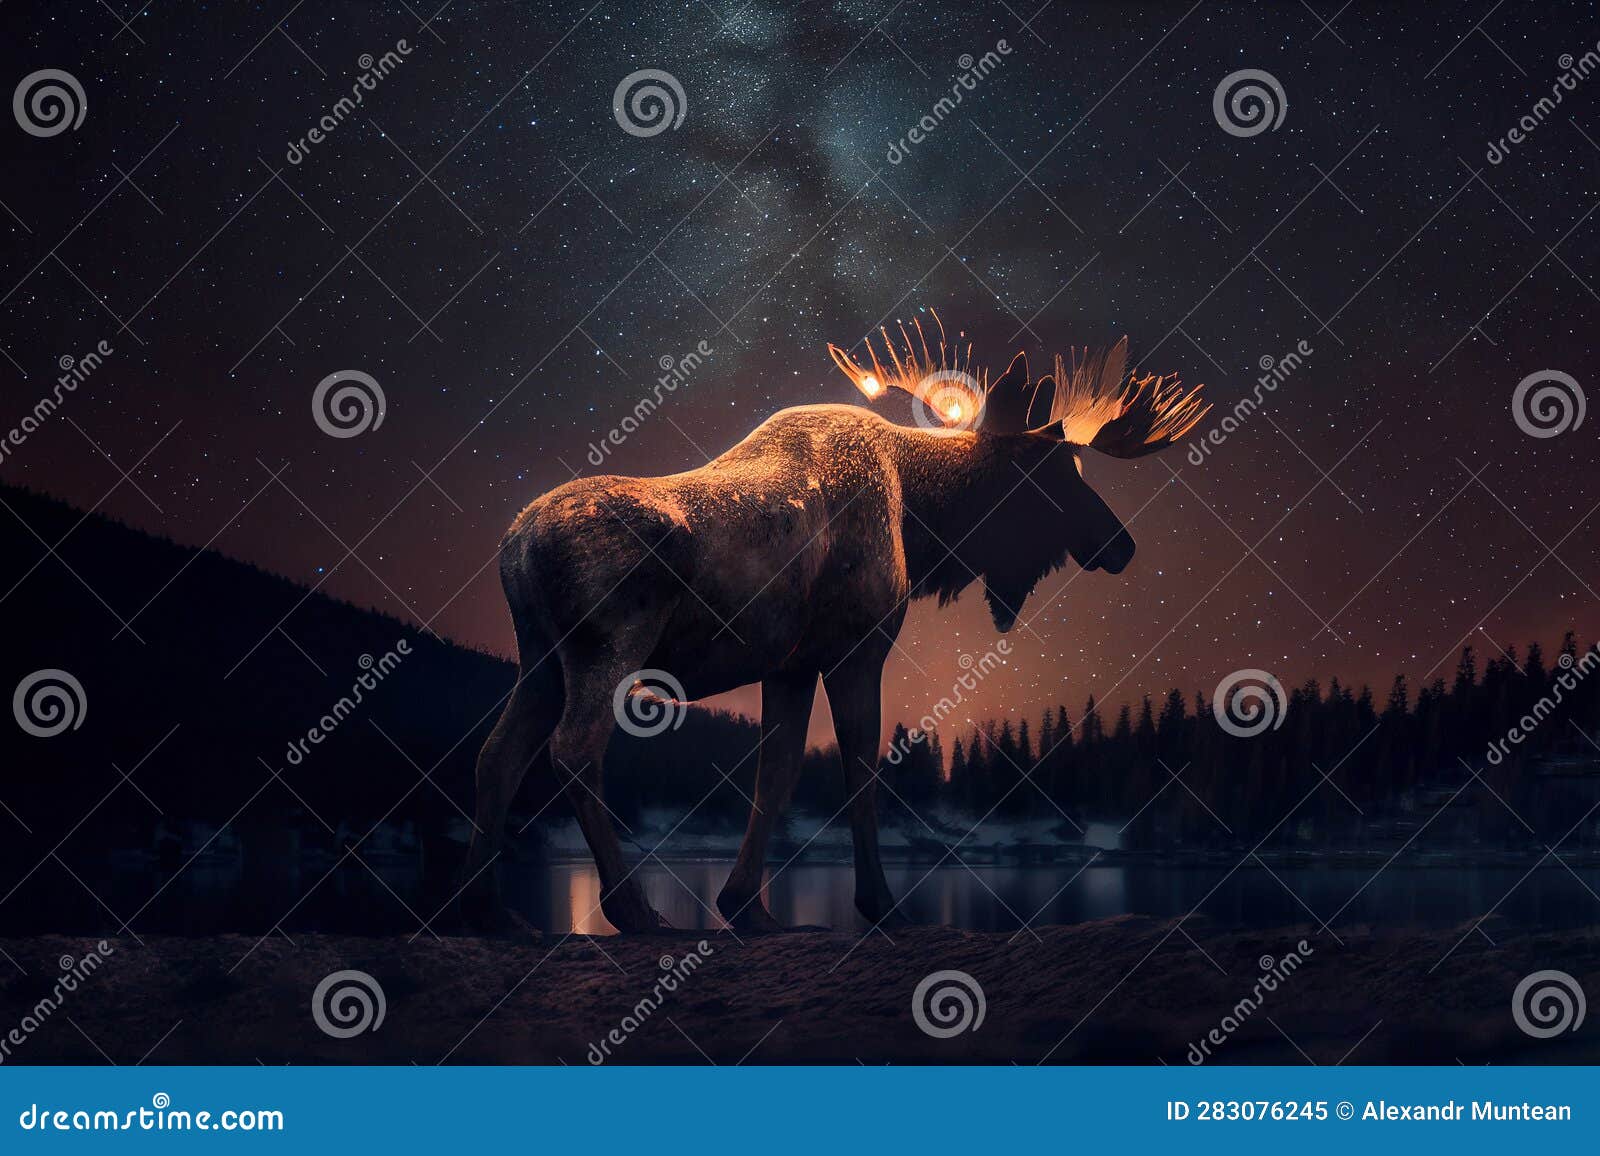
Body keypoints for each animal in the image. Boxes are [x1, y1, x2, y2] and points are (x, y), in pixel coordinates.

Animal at [460, 322, 1208, 933]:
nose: (1122, 545)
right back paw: (634, 911)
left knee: (497, 754)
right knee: (572, 749)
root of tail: (514, 545)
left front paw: (747, 907)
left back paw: (489, 910)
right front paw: (881, 905)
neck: (922, 518)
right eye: (1054, 470)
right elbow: (859, 767)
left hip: (539, 658)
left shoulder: (790, 663)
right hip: (608, 648)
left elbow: (778, 773)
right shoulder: (858, 646)